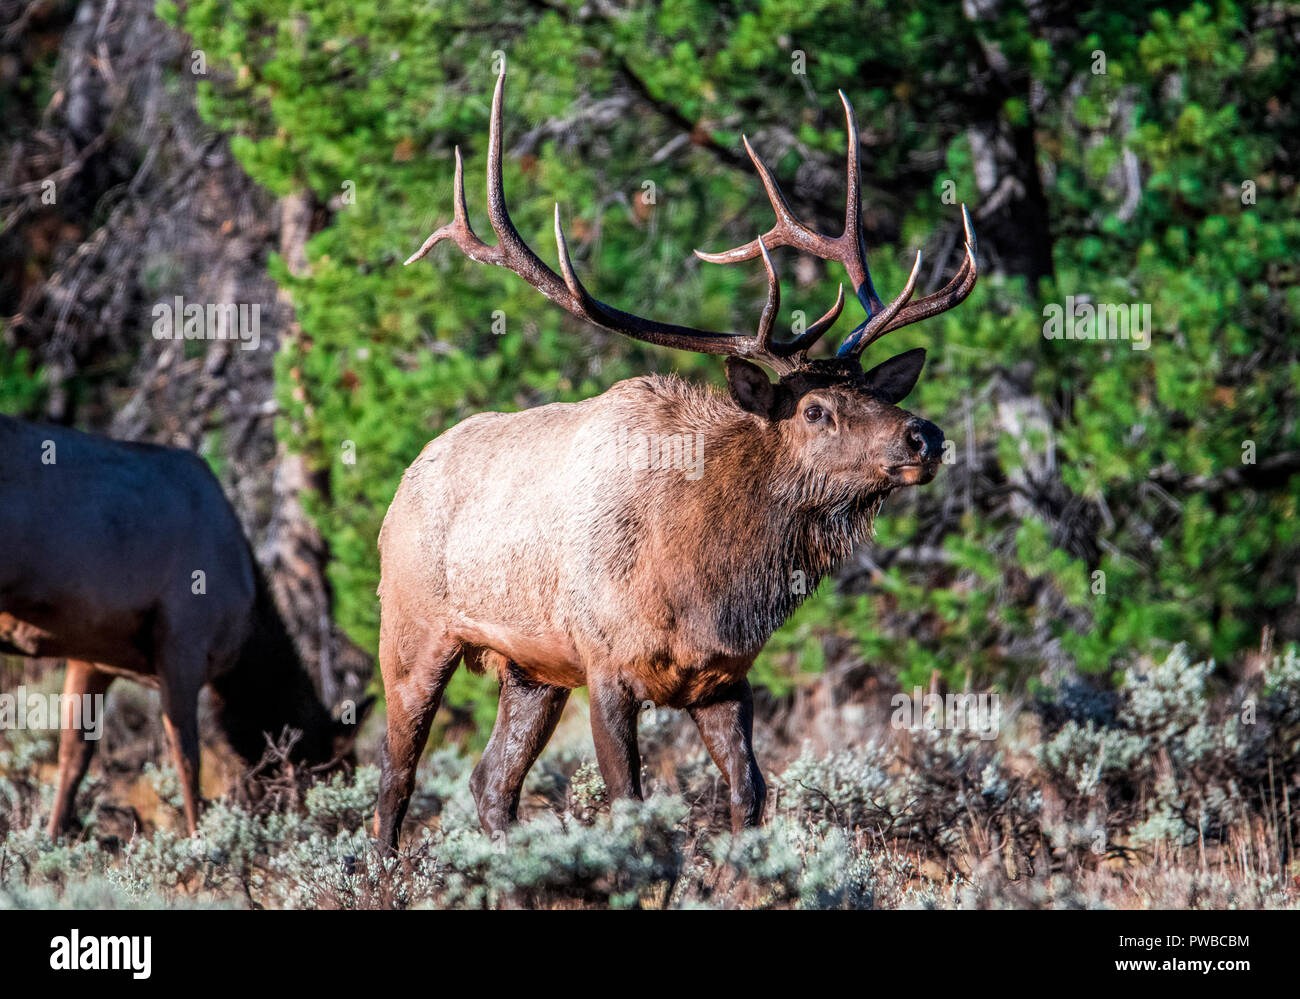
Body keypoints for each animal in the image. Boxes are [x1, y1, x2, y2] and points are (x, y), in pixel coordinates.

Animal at [0, 415, 373, 836]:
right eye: (335, 772)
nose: (347, 826)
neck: (246, 631)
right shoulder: (184, 645)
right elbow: (188, 758)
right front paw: (201, 840)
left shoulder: (91, 657)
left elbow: (74, 755)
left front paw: (53, 837)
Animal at [376, 69, 976, 849]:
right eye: (815, 409)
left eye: (877, 389)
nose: (923, 436)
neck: (706, 579)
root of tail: (404, 481)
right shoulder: (606, 664)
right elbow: (631, 803)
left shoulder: (725, 677)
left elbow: (751, 795)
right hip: (413, 631)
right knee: (396, 782)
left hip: (532, 670)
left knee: (490, 783)